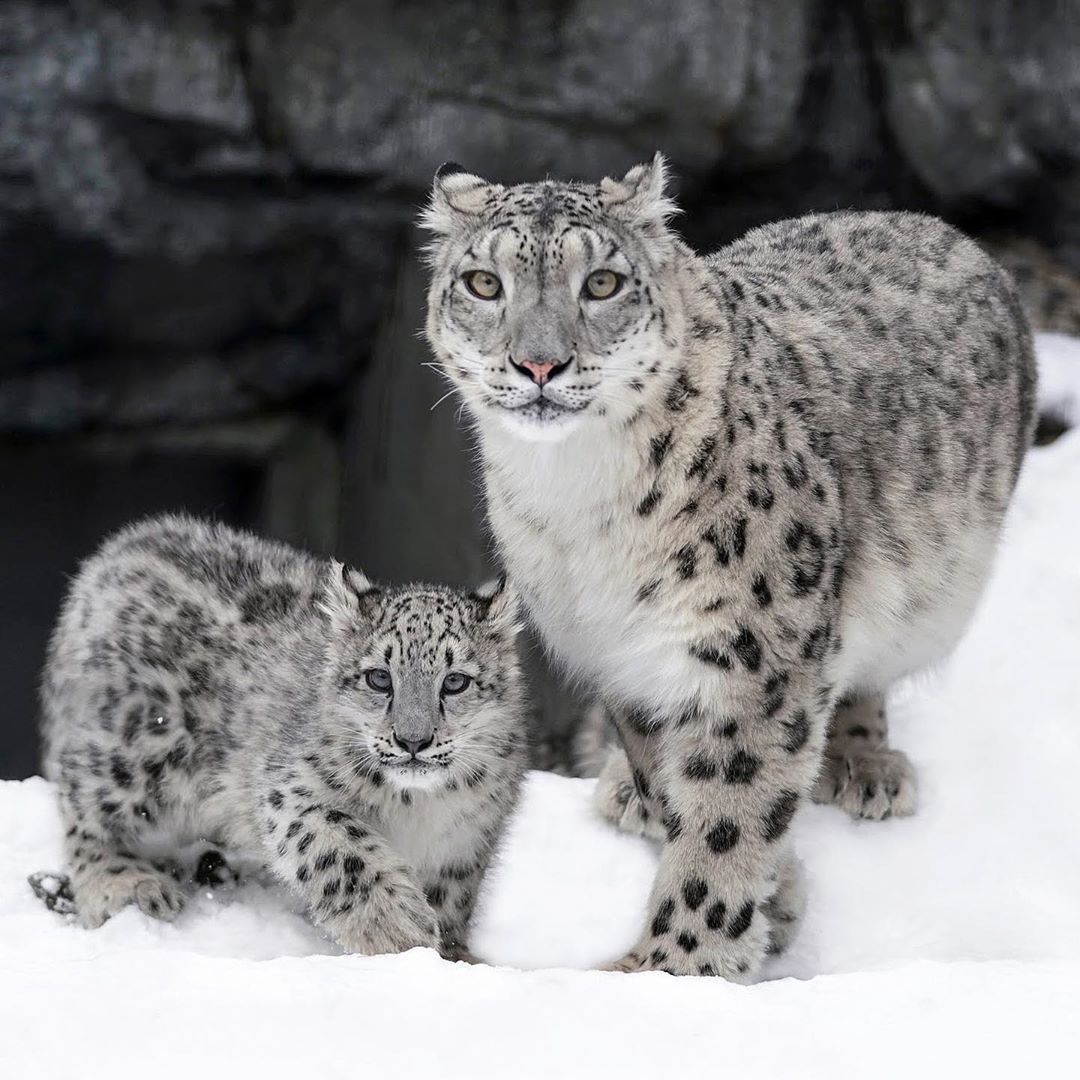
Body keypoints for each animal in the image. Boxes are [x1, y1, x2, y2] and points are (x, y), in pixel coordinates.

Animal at [39, 514, 526, 961]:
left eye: (455, 682)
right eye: (379, 678)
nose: (412, 740)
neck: (419, 811)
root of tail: (116, 552)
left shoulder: (465, 844)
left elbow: (452, 898)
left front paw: (450, 952)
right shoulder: (291, 789)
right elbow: (338, 849)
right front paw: (395, 924)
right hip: (143, 750)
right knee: (81, 798)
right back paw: (125, 884)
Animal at [422, 154, 1037, 979]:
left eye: (602, 283)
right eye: (484, 283)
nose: (539, 362)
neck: (579, 504)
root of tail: (924, 221)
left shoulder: (755, 653)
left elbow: (728, 816)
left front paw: (676, 963)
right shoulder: (623, 653)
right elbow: (674, 779)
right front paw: (766, 896)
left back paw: (864, 767)